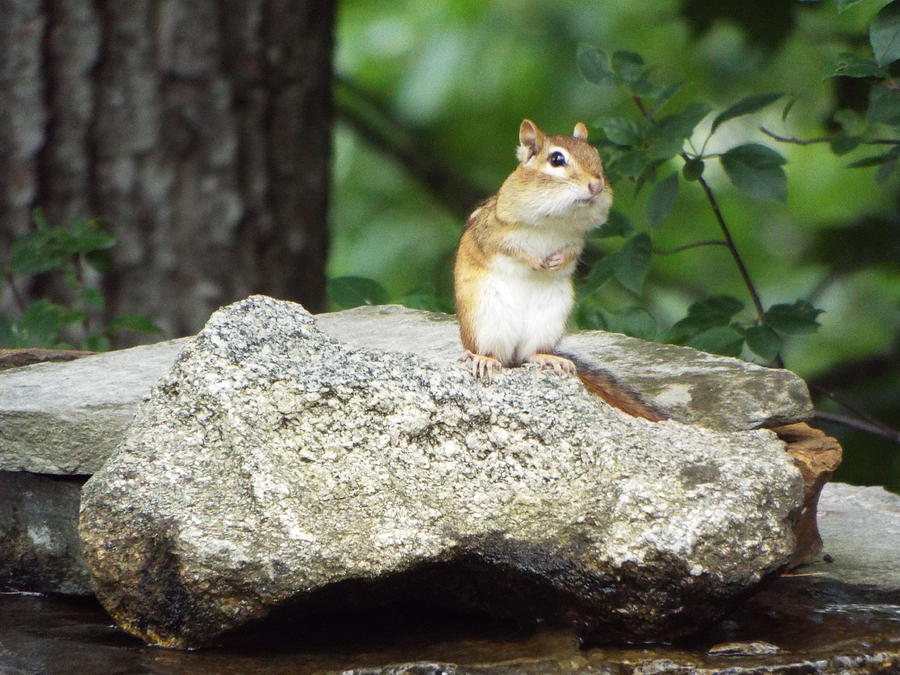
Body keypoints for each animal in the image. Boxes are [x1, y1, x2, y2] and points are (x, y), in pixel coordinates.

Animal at [453, 119, 665, 422]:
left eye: (596, 156)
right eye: (556, 159)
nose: (596, 185)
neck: (555, 221)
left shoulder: (576, 239)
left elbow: (572, 253)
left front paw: (556, 262)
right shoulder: (494, 230)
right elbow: (509, 248)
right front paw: (535, 260)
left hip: (549, 320)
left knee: (530, 355)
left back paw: (549, 359)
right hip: (485, 321)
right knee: (491, 352)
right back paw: (484, 358)